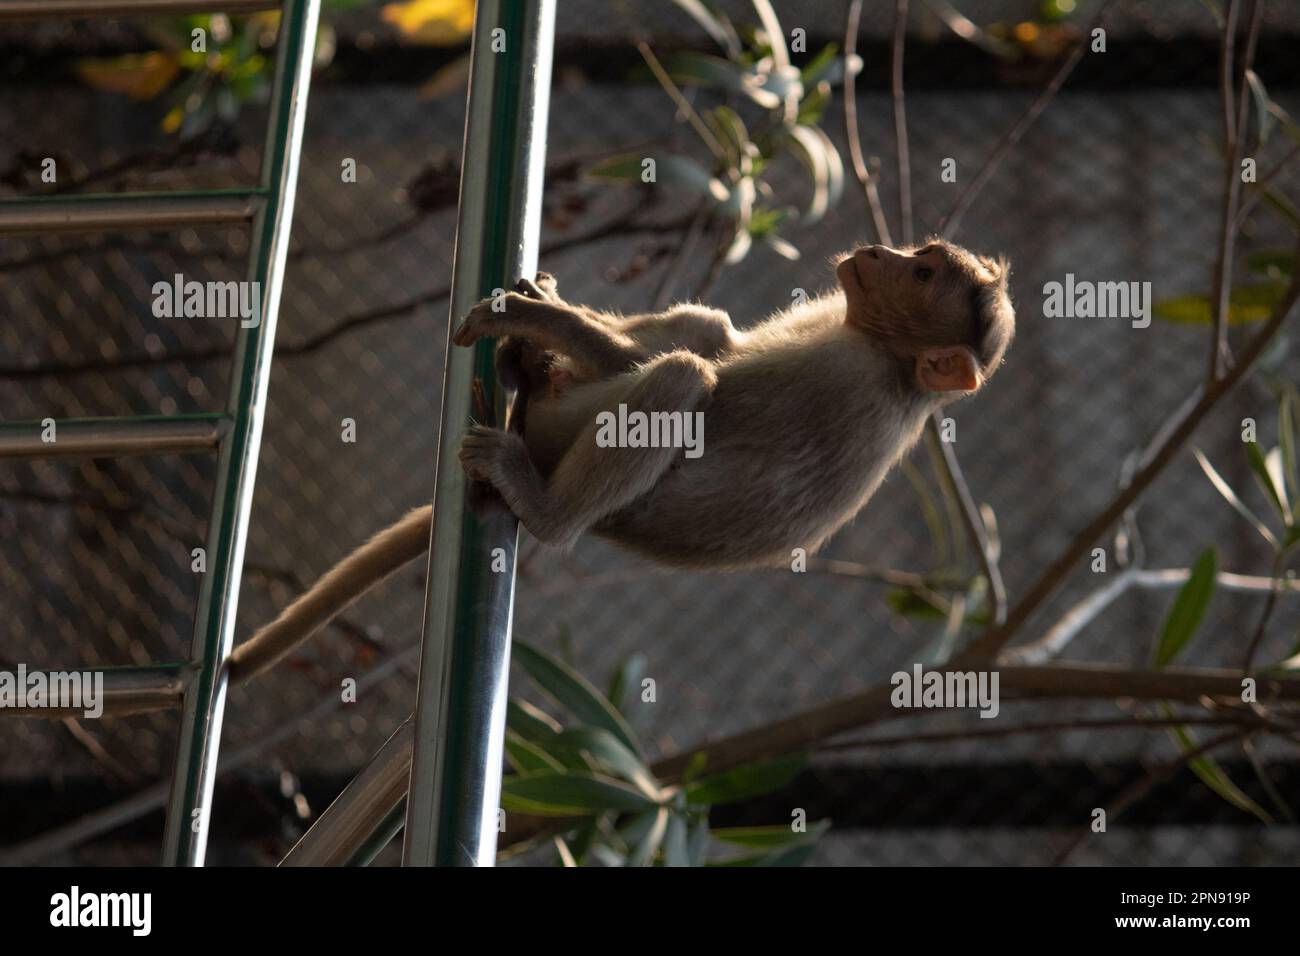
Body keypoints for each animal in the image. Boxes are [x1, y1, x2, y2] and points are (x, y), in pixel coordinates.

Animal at [229, 240, 1013, 680]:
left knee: (685, 376)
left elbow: (712, 396)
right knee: (702, 332)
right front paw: (544, 319)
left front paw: (538, 317)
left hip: (563, 446)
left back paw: (541, 495)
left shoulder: (843, 379)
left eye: (923, 275)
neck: (895, 363)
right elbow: (719, 337)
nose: (881, 252)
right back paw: (538, 366)